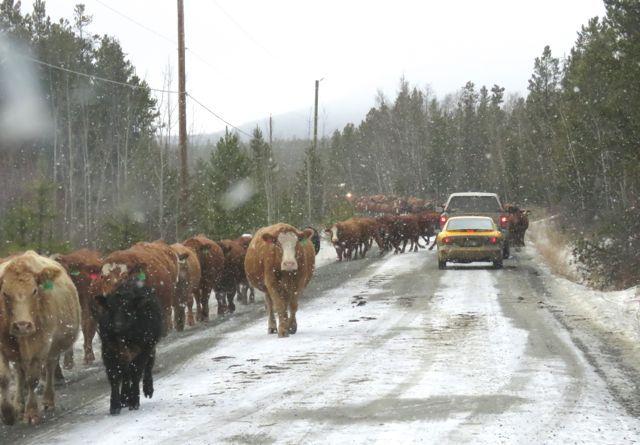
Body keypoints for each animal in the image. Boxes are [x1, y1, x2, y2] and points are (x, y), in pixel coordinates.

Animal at [0, 251, 81, 425]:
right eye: (5, 293)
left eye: (34, 291)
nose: (22, 325)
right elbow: (4, 378)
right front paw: (8, 413)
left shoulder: (41, 346)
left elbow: (33, 378)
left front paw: (31, 412)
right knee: (20, 373)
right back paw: (18, 404)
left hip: (53, 348)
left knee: (49, 368)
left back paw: (48, 400)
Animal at [95, 279, 162, 415]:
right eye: (109, 308)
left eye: (128, 308)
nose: (117, 325)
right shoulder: (108, 351)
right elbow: (114, 375)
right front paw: (115, 405)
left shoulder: (143, 349)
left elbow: (136, 373)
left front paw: (134, 401)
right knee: (126, 373)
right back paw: (124, 398)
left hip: (150, 346)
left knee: (148, 365)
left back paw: (147, 389)